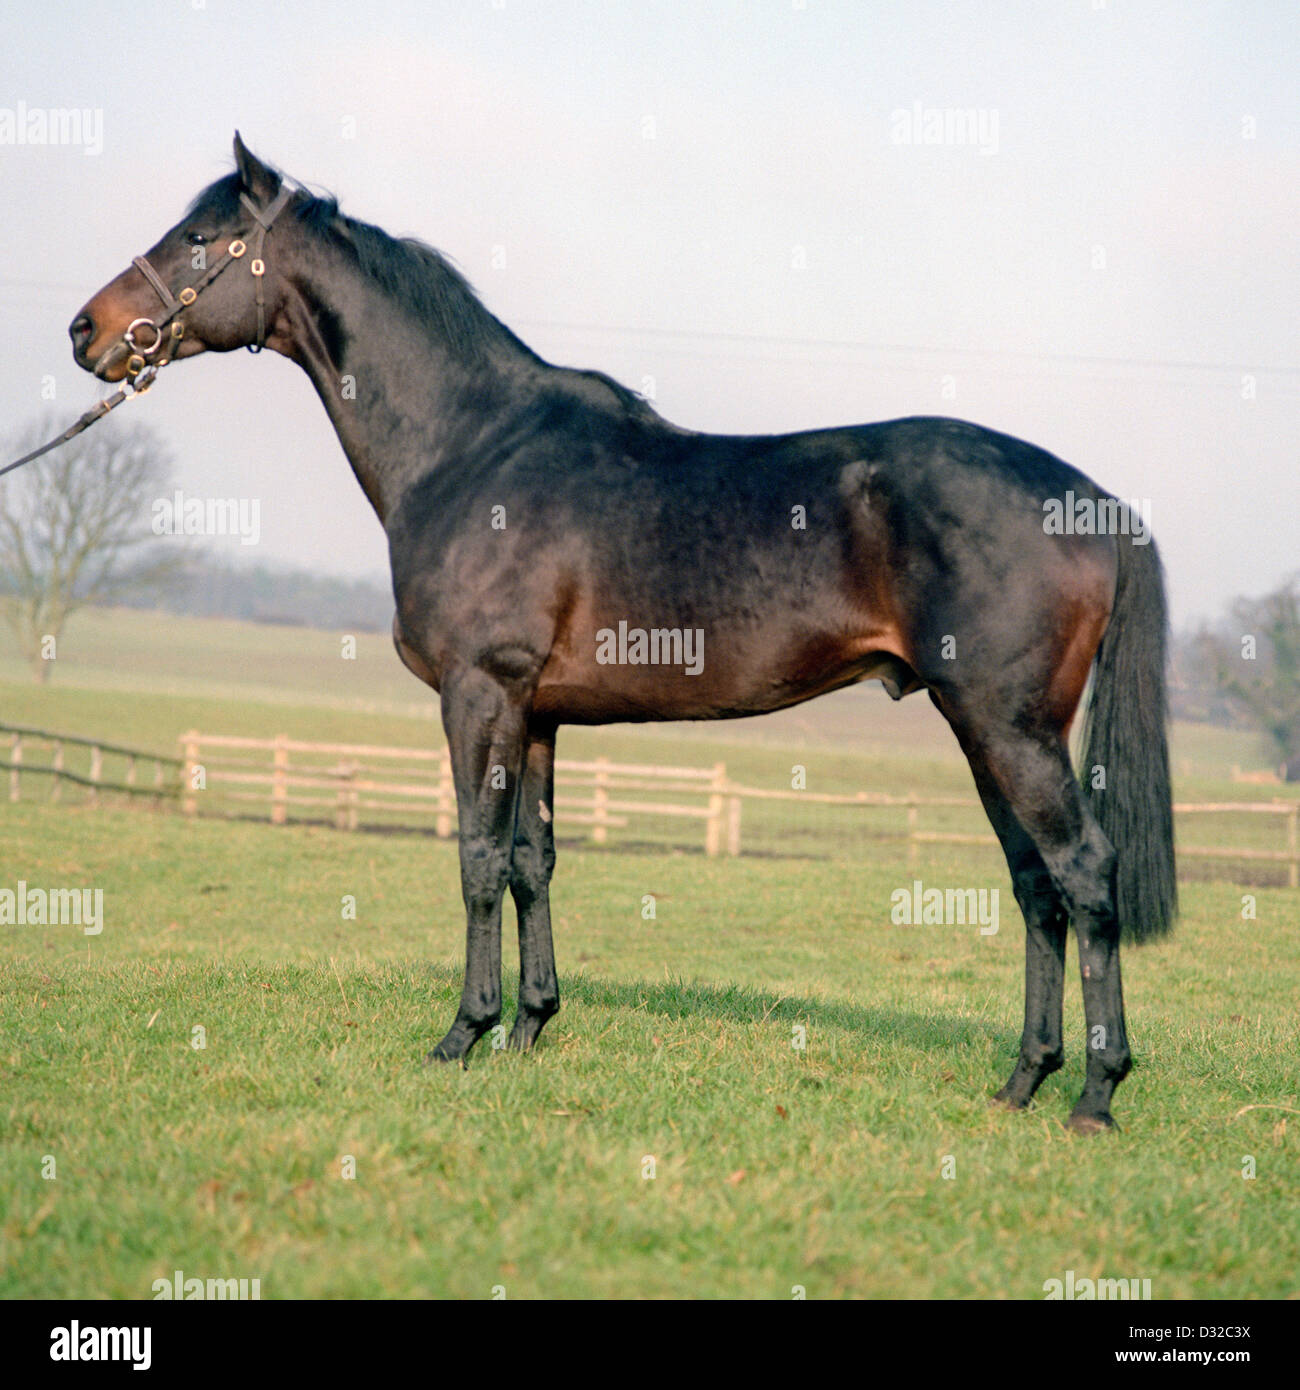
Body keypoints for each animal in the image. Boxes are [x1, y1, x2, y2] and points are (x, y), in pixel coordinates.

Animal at [70, 134, 1176, 1131]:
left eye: (198, 237)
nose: (87, 329)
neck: (471, 447)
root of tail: (1093, 502)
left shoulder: (479, 692)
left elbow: (476, 859)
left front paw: (462, 1034)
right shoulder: (537, 713)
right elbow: (532, 860)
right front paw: (528, 1027)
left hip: (1007, 727)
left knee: (1084, 873)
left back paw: (1095, 1094)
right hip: (985, 731)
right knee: (1035, 888)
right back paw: (1022, 1081)